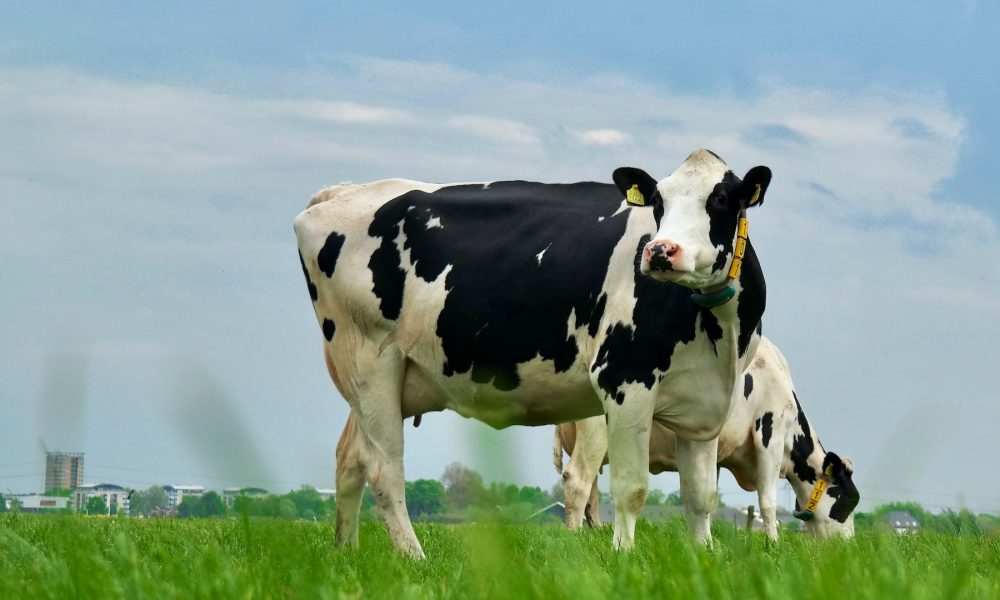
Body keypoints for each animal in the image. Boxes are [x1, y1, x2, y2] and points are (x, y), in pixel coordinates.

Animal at [294, 149, 772, 557]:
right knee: (385, 469)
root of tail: (343, 192)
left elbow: (701, 496)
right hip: (369, 361)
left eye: (721, 198)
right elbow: (631, 487)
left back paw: (347, 550)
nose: (660, 251)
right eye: (658, 200)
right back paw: (414, 557)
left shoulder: (704, 402)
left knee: (351, 459)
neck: (718, 333)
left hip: (374, 379)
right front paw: (623, 556)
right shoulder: (624, 378)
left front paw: (703, 557)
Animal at [553, 336, 860, 539]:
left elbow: (705, 496)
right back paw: (574, 538)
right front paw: (773, 544)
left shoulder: (719, 453)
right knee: (578, 481)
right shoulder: (769, 436)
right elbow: (768, 502)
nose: (848, 545)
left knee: (591, 493)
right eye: (848, 500)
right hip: (596, 433)